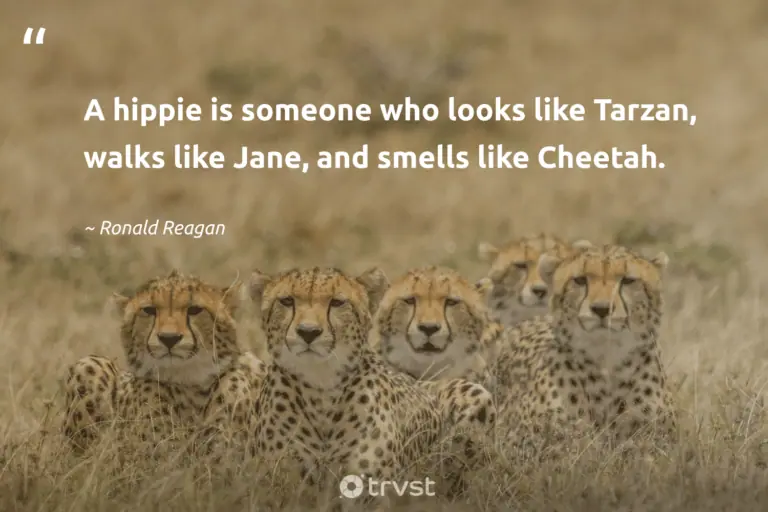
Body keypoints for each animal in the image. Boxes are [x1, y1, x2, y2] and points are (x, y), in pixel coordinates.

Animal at [247, 266, 496, 509]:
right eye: (286, 301)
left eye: (337, 303)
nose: (308, 332)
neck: (321, 390)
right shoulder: (279, 487)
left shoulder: (371, 492)